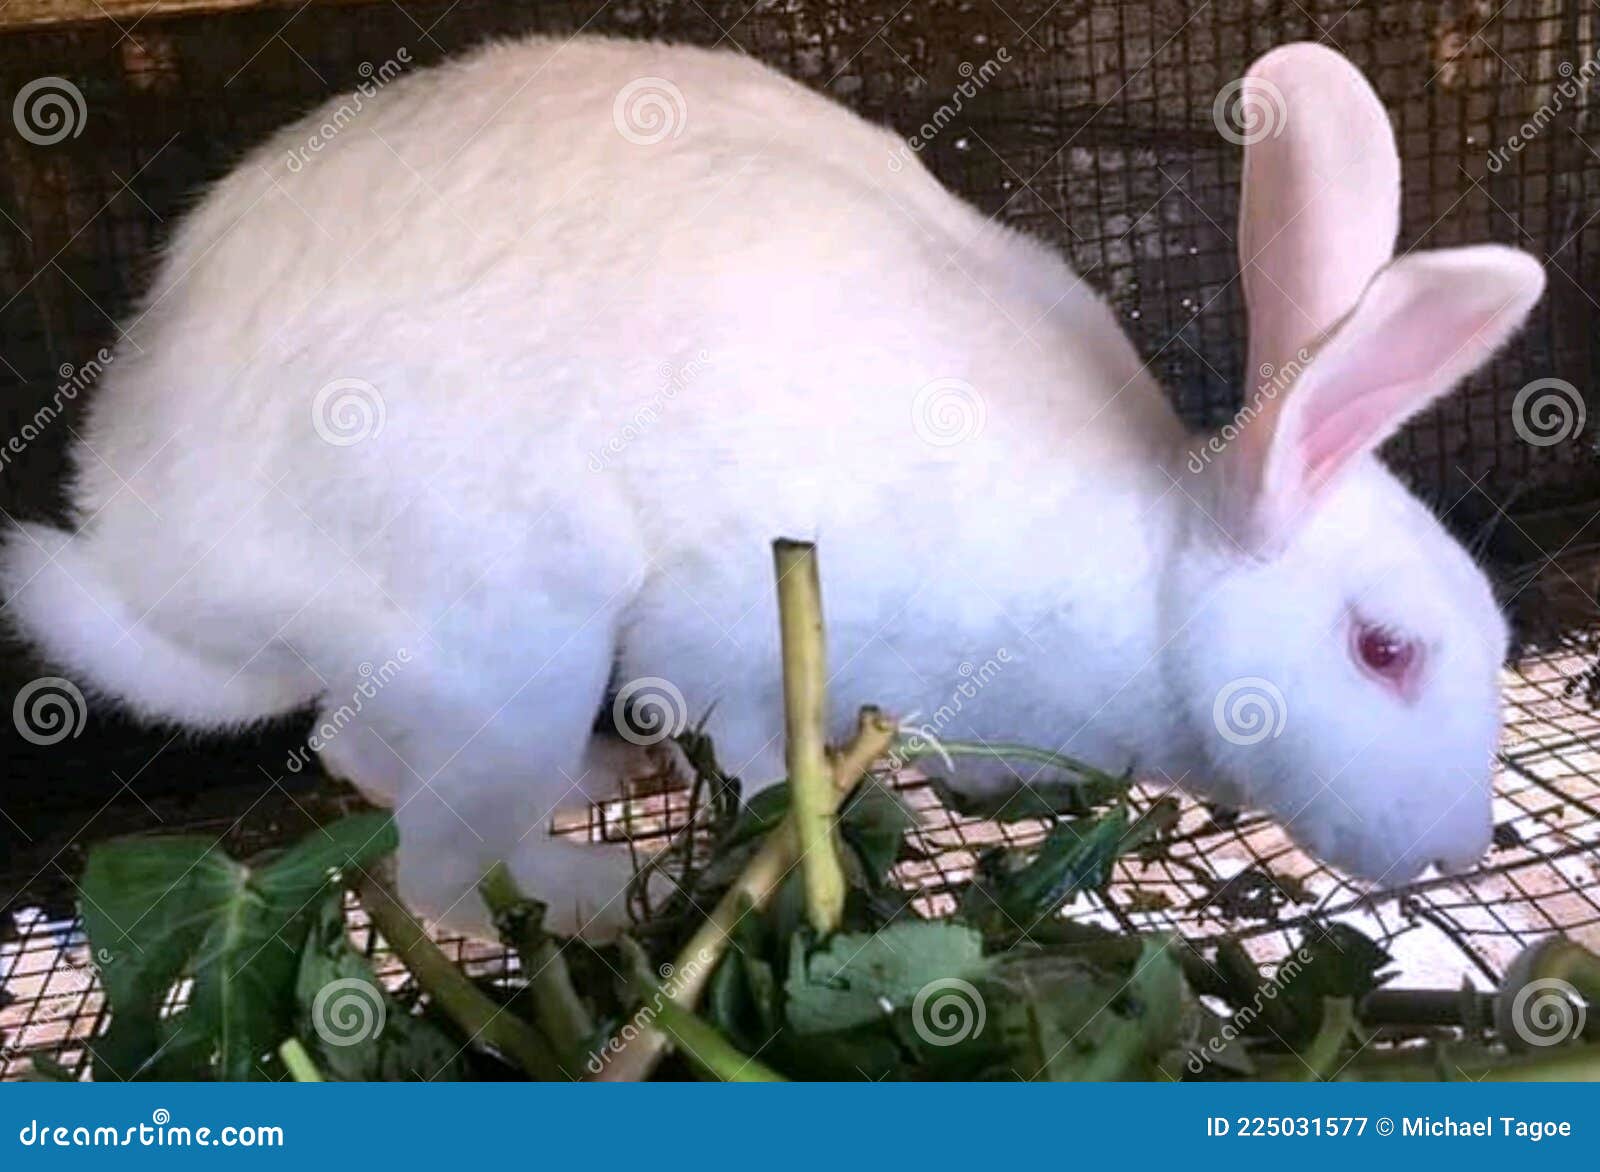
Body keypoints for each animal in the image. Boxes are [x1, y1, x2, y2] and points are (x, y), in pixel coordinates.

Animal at [1, 36, 1544, 941]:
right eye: (1382, 650)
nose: (1457, 847)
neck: (1148, 582)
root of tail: (148, 550)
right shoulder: (745, 647)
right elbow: (752, 755)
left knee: (349, 751)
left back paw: (604, 782)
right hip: (511, 636)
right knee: (428, 850)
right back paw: (602, 891)